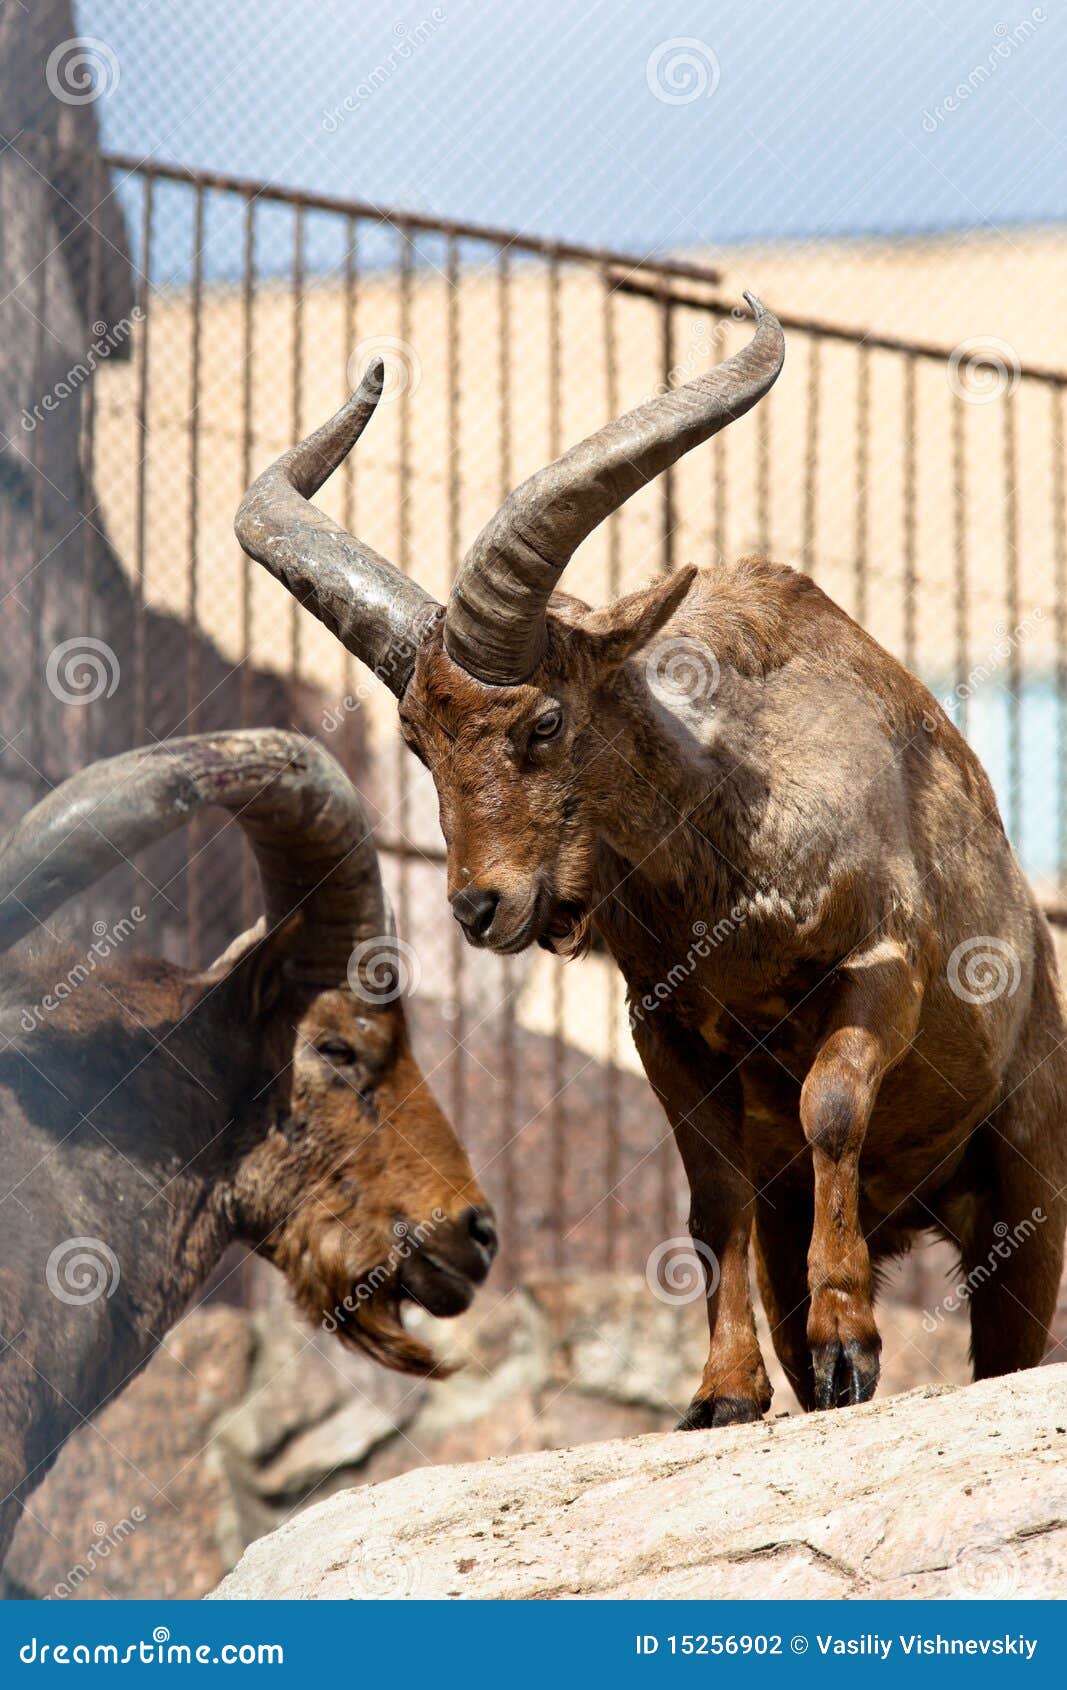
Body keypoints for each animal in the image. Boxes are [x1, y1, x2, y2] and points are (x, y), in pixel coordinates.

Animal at [235, 299, 1067, 1429]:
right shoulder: (666, 1029)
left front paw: (849, 1343)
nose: (480, 907)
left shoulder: (880, 966)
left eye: (544, 721)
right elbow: (710, 1195)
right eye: (416, 740)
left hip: (1027, 1178)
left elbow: (831, 1108)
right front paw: (720, 1394)